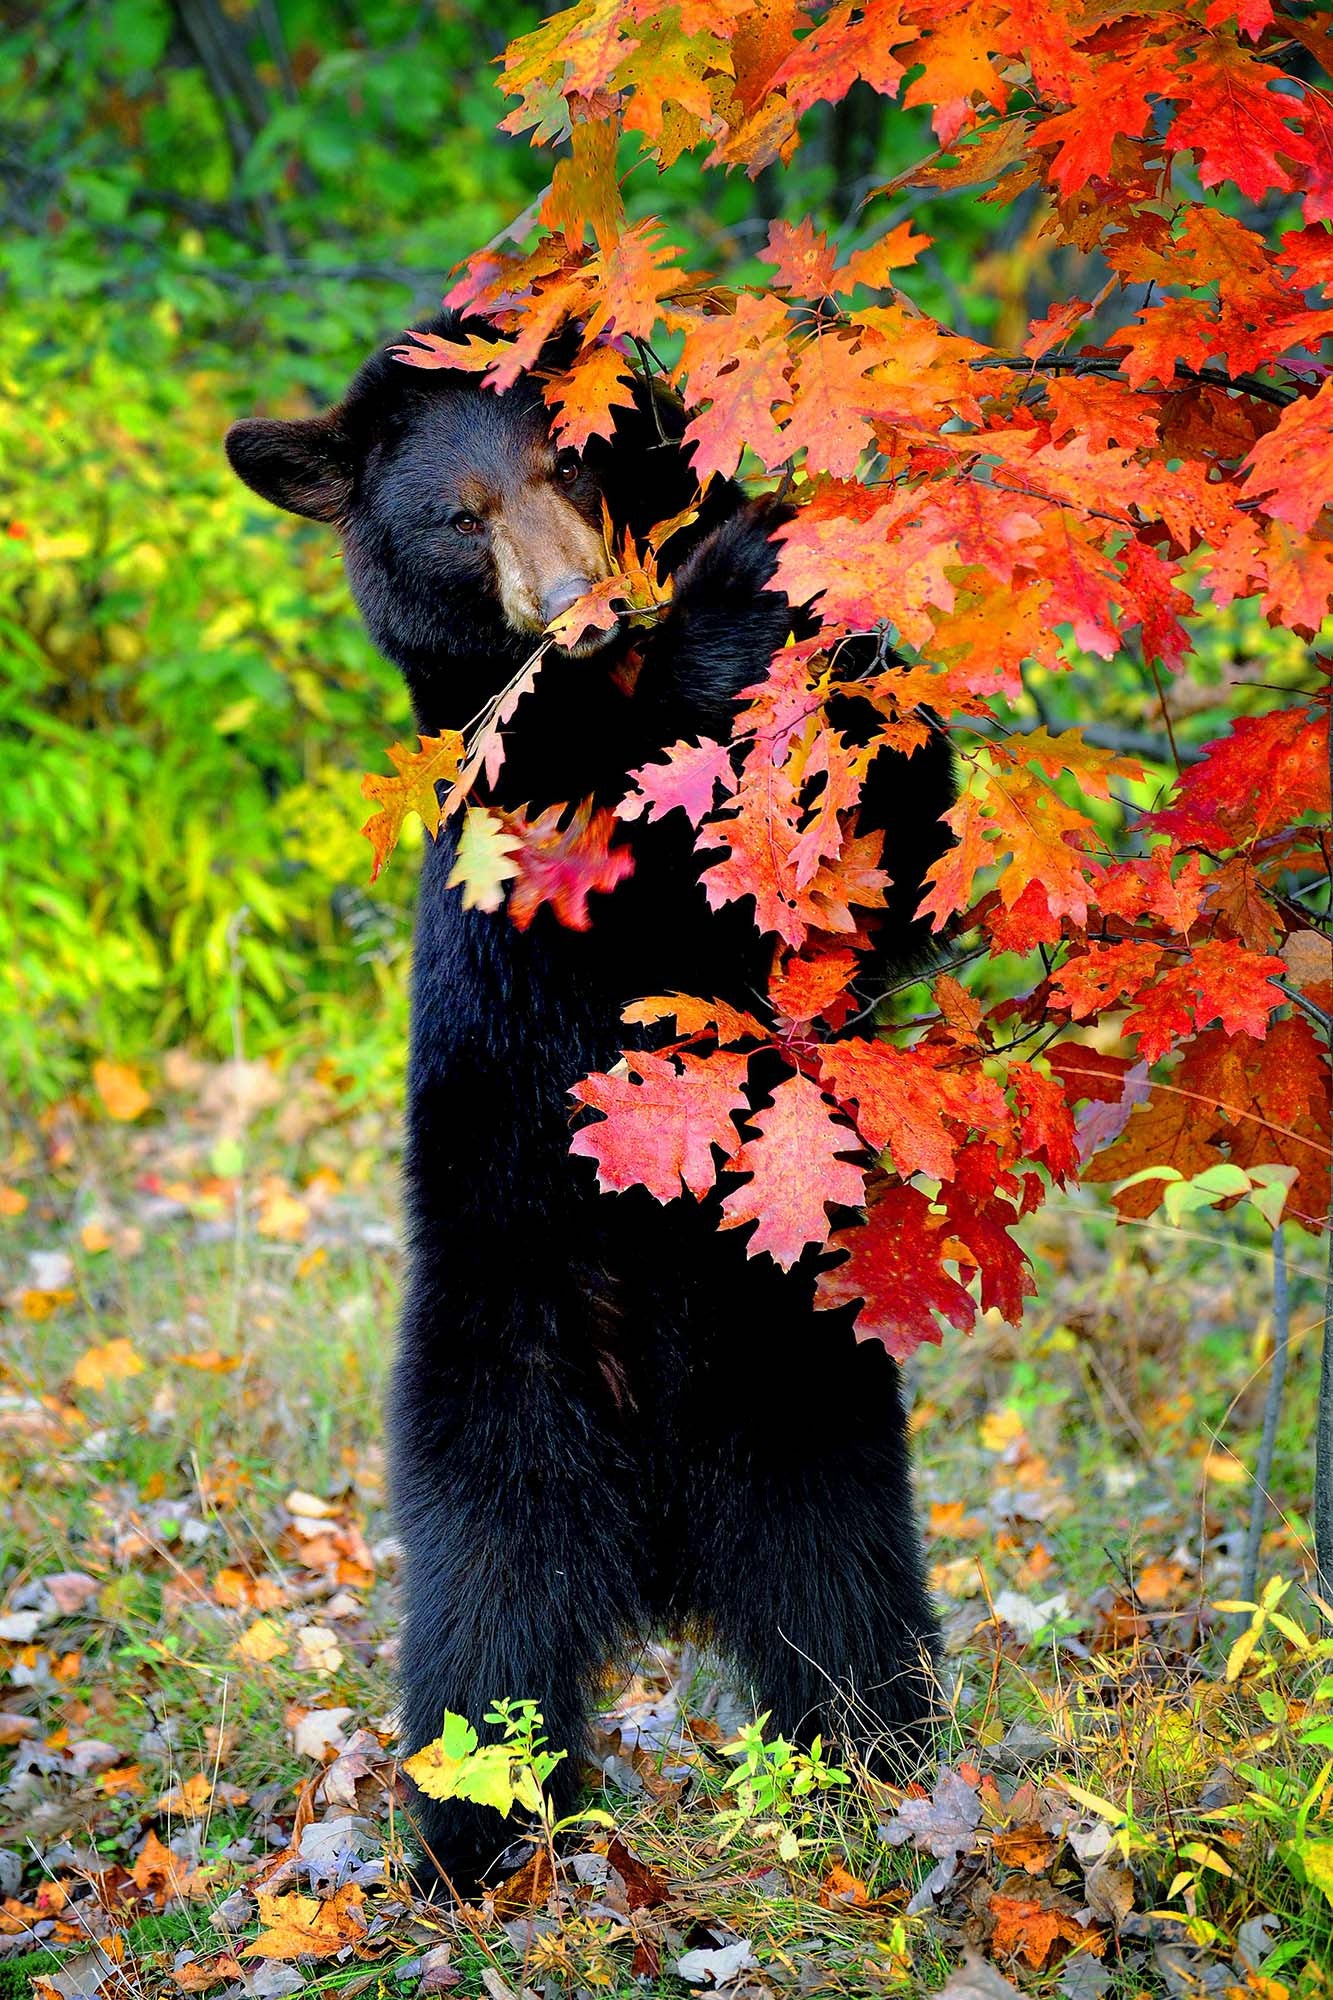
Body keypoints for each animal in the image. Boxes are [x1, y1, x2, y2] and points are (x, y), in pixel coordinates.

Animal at [226, 309, 952, 1891]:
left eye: (572, 455)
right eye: (457, 516)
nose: (581, 608)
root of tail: (661, 1537)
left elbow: (896, 827)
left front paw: (788, 556)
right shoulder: (525, 828)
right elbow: (651, 853)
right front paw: (733, 588)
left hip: (809, 1381)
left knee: (844, 1594)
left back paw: (883, 1769)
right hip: (500, 1380)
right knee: (487, 1622)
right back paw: (473, 1838)